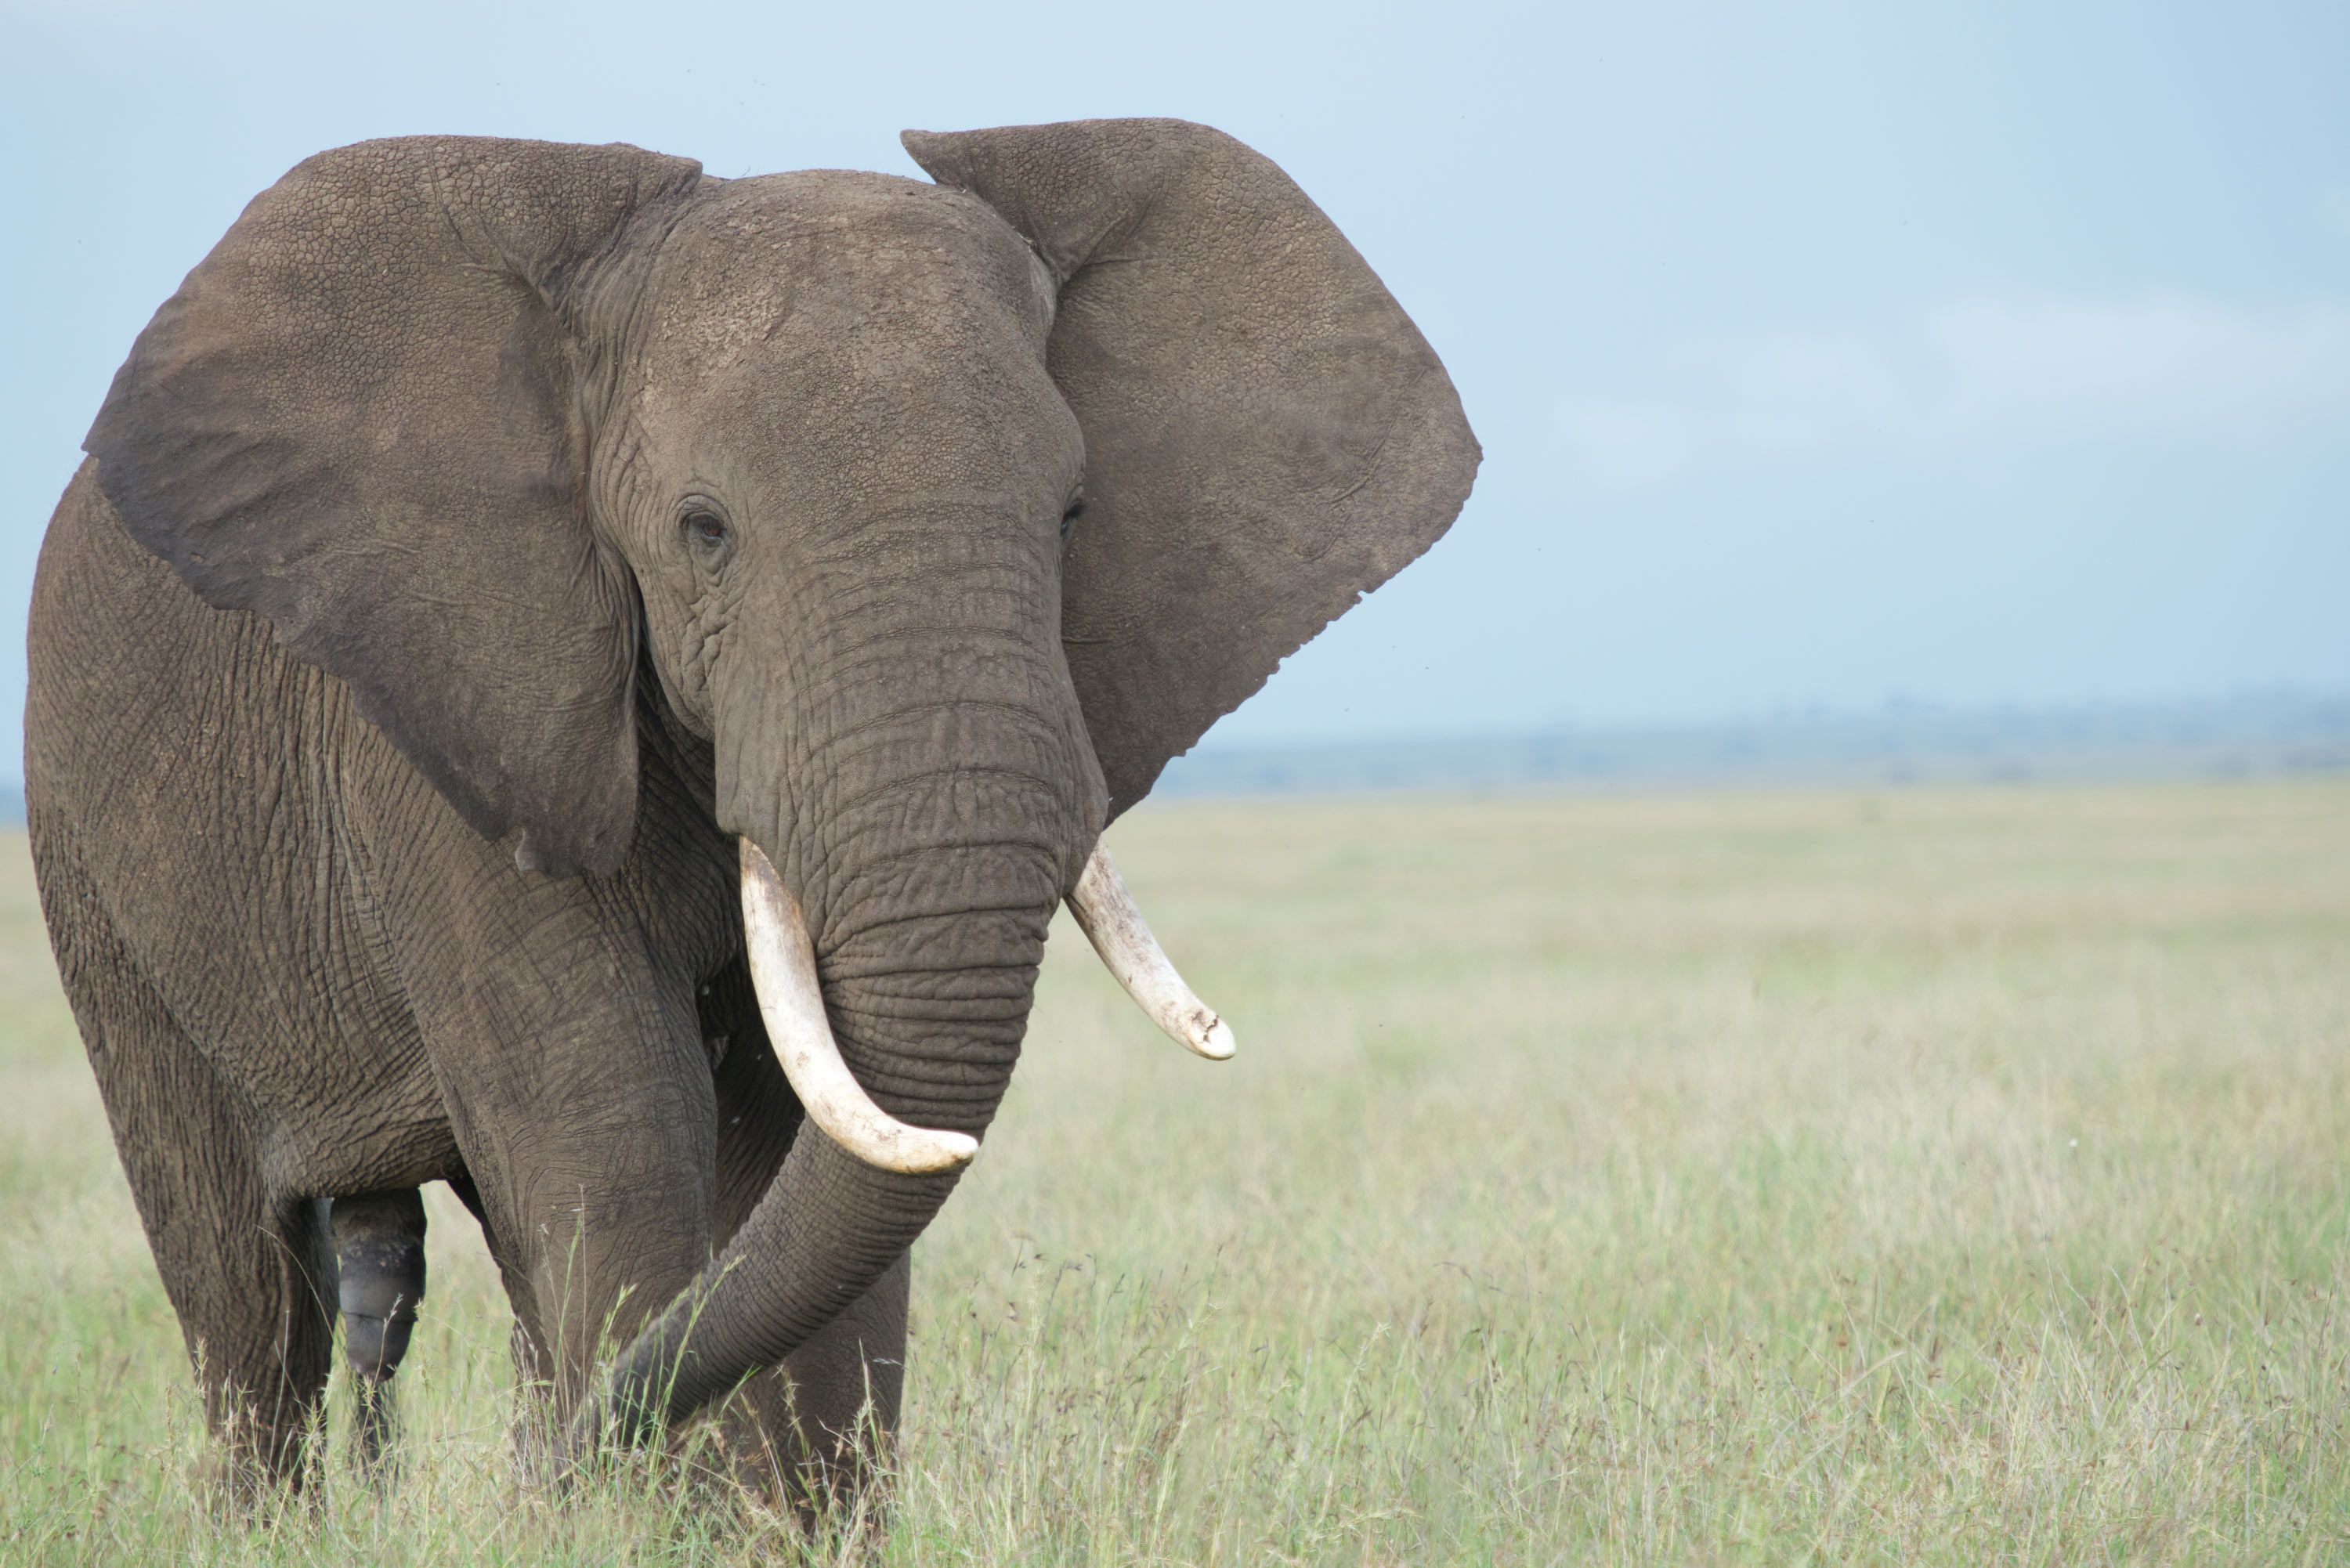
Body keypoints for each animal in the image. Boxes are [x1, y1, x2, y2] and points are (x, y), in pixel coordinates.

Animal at [27, 120, 1476, 1494]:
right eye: (704, 528)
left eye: (1072, 515)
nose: (559, 1470)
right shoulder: (455, 705)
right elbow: (612, 1151)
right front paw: (620, 1510)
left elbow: (795, 1169)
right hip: (86, 858)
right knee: (245, 1305)